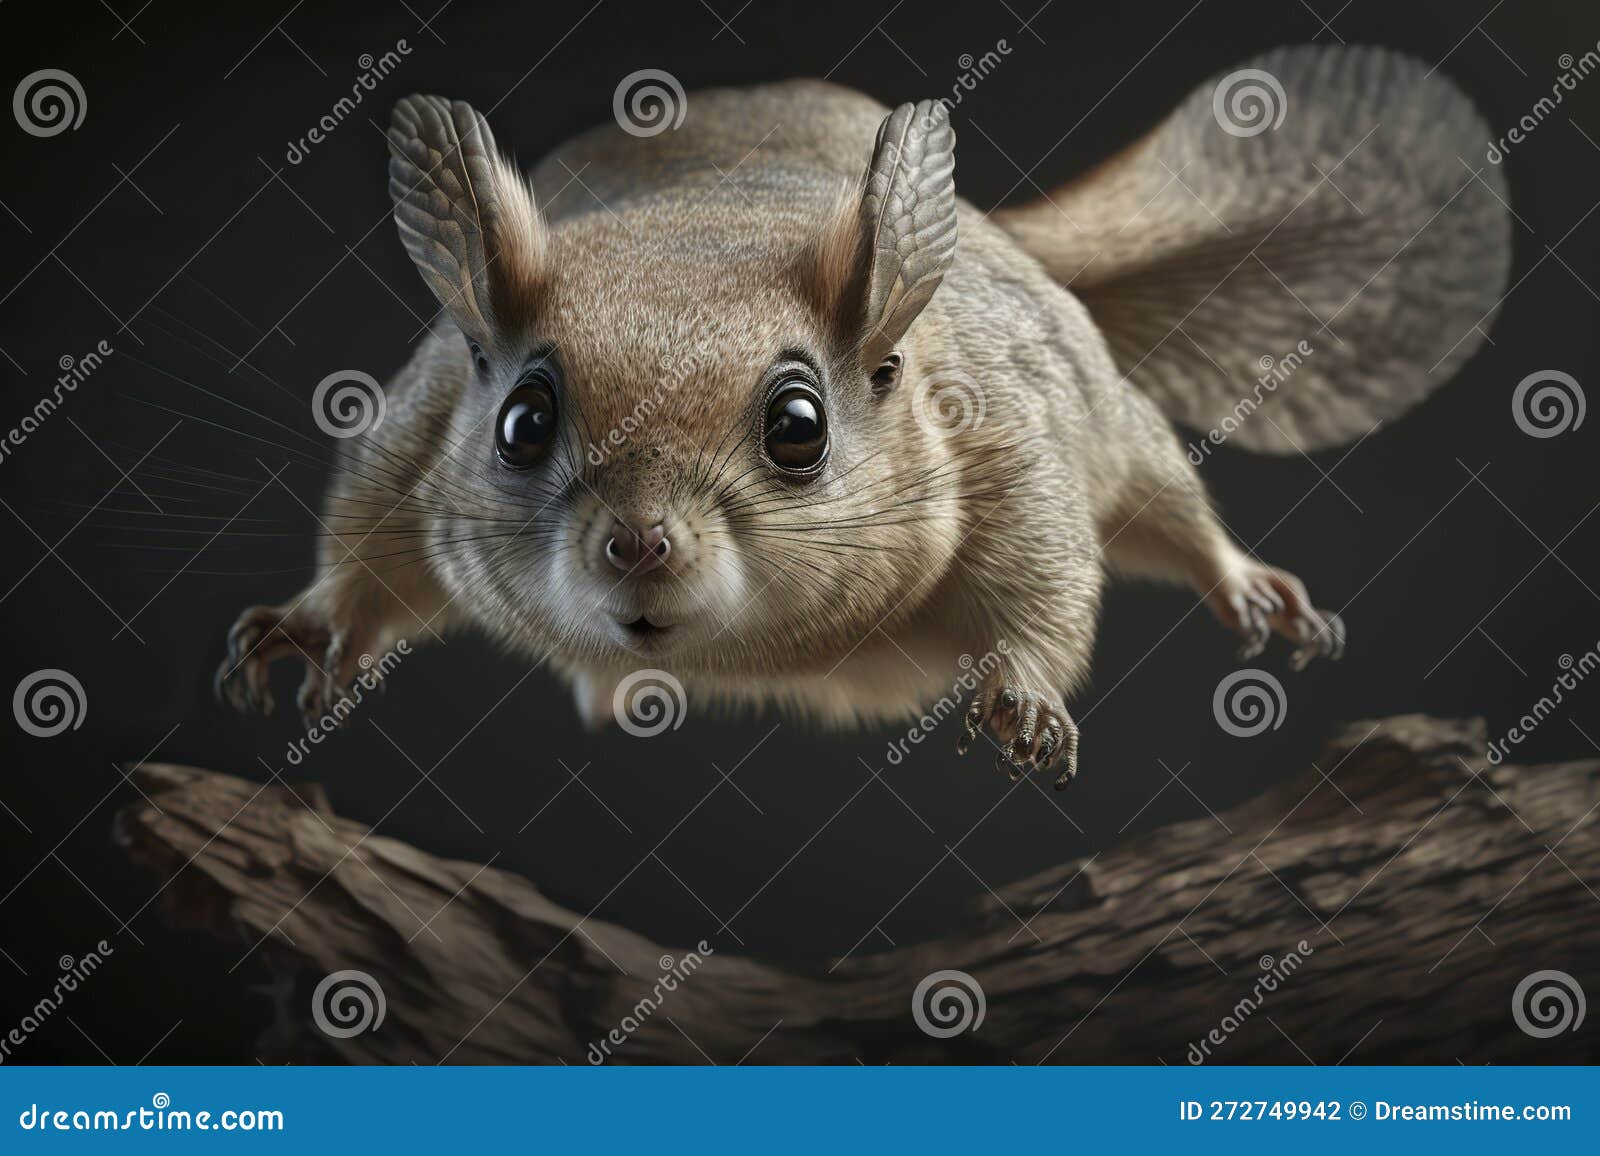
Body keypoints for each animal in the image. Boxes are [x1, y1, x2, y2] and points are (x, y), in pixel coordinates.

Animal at [217, 45, 1510, 789]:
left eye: (799, 424)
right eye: (522, 422)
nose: (636, 545)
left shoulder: (1002, 438)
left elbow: (1044, 590)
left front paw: (1025, 700)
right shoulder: (418, 422)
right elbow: (365, 553)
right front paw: (308, 629)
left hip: (1104, 411)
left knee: (1167, 506)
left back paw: (1249, 585)